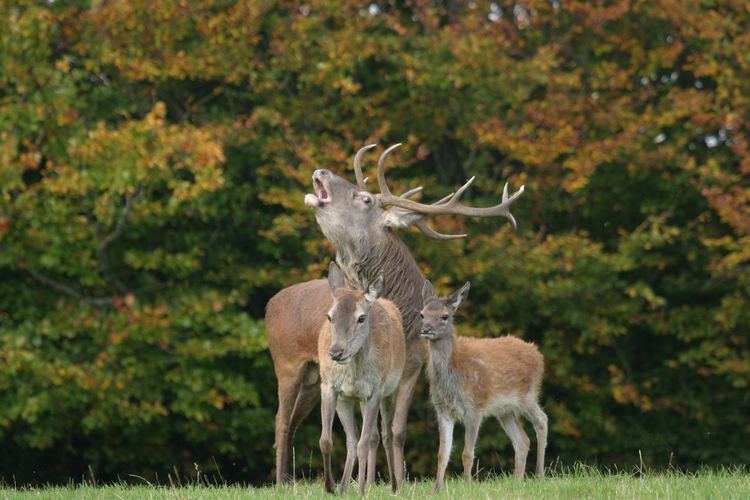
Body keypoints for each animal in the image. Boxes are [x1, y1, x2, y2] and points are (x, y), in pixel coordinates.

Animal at [318, 262, 406, 495]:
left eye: (361, 318)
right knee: (353, 438)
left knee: (383, 434)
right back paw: (345, 486)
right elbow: (326, 440)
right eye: (330, 316)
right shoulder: (329, 386)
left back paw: (392, 485)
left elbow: (364, 443)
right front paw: (330, 486)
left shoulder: (375, 391)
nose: (336, 352)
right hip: (349, 400)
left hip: (389, 391)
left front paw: (361, 491)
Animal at [419, 280, 548, 492]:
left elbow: (467, 453)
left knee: (542, 420)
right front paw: (436, 489)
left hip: (529, 395)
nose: (426, 329)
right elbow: (442, 454)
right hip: (505, 410)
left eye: (445, 316)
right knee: (522, 440)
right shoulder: (443, 410)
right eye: (422, 314)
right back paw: (517, 481)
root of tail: (538, 353)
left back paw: (538, 475)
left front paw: (467, 486)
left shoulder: (474, 408)